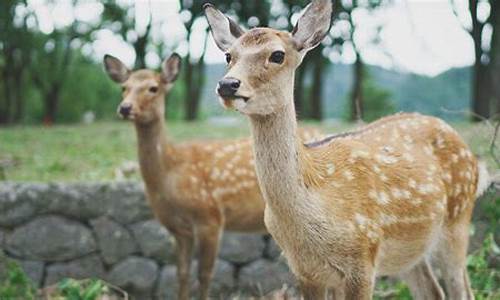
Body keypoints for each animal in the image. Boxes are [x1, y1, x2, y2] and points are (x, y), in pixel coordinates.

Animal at [103, 52, 322, 298]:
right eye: (124, 87)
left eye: (153, 88)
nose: (125, 108)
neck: (170, 173)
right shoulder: (178, 228)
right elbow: (181, 273)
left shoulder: (210, 216)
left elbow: (205, 274)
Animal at [205, 1, 490, 298]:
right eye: (228, 55)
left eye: (277, 54)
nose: (227, 84)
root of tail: (475, 161)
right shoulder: (304, 270)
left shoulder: (363, 256)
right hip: (410, 251)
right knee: (433, 290)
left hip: (457, 220)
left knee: (461, 289)